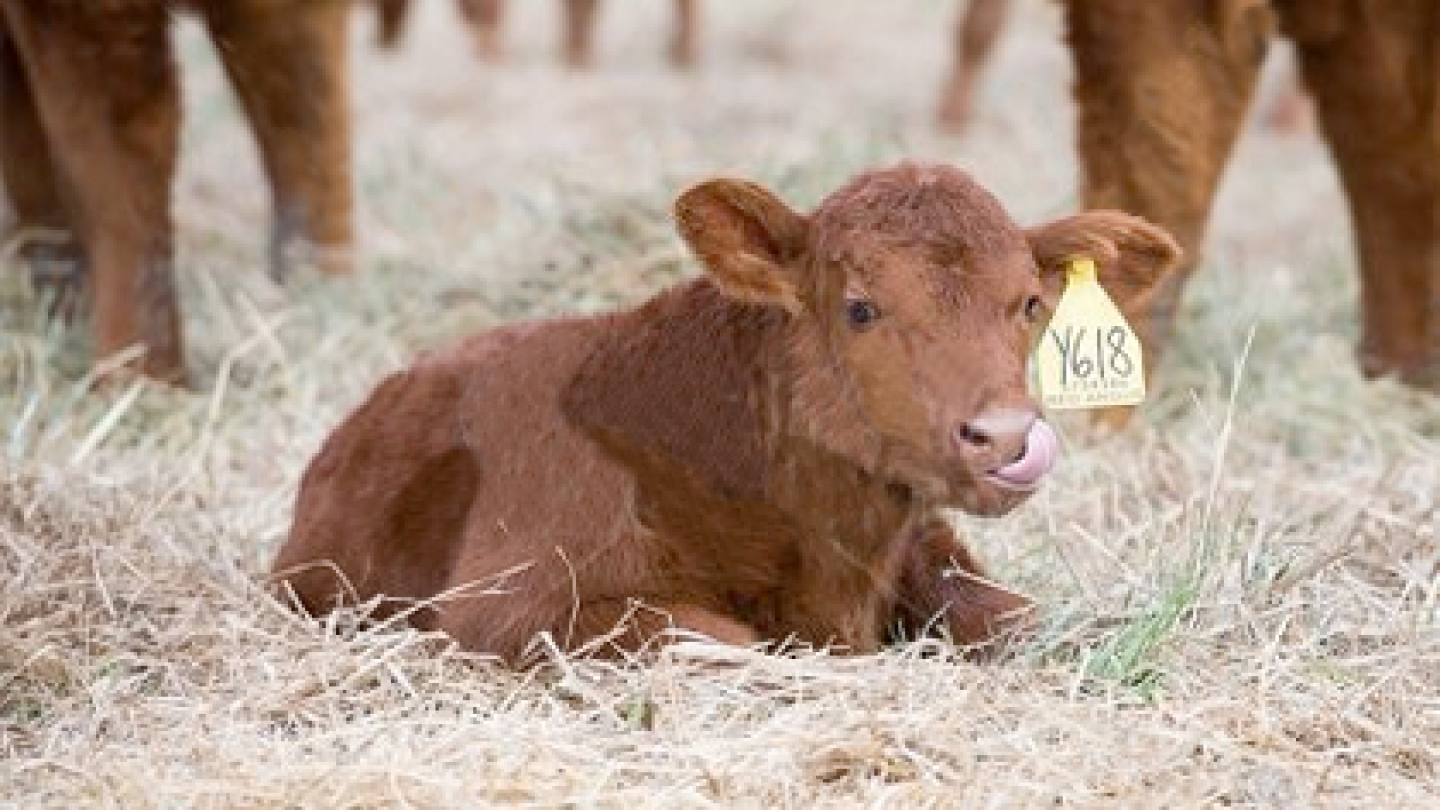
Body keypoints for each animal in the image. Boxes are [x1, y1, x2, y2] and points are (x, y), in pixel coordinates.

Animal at [271, 163, 1181, 664]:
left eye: (1028, 303)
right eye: (859, 307)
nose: (1007, 438)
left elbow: (1023, 619)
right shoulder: (507, 606)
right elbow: (724, 642)